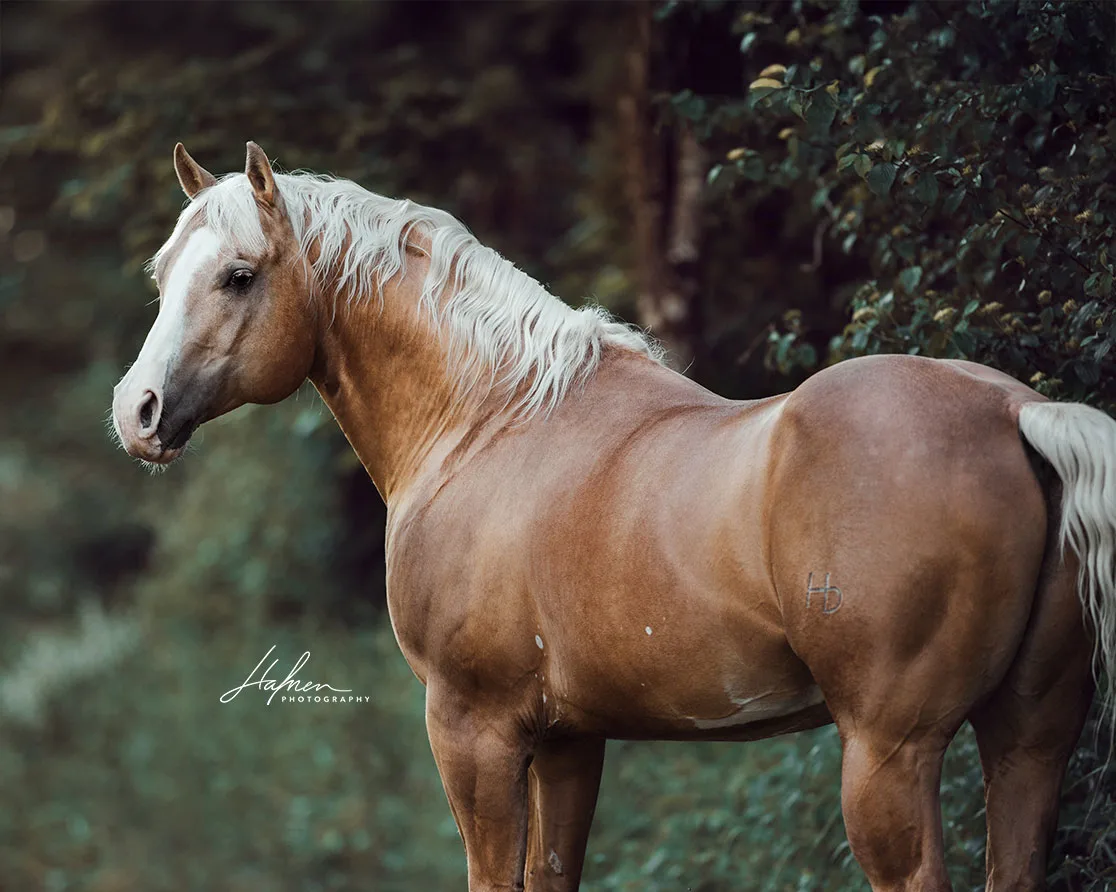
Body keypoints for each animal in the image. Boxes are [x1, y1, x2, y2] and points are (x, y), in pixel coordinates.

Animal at [111, 142, 1116, 892]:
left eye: (240, 275)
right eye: (163, 274)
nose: (138, 411)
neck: (492, 418)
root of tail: (1012, 412)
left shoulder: (471, 731)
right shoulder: (568, 740)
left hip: (890, 758)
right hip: (1029, 739)